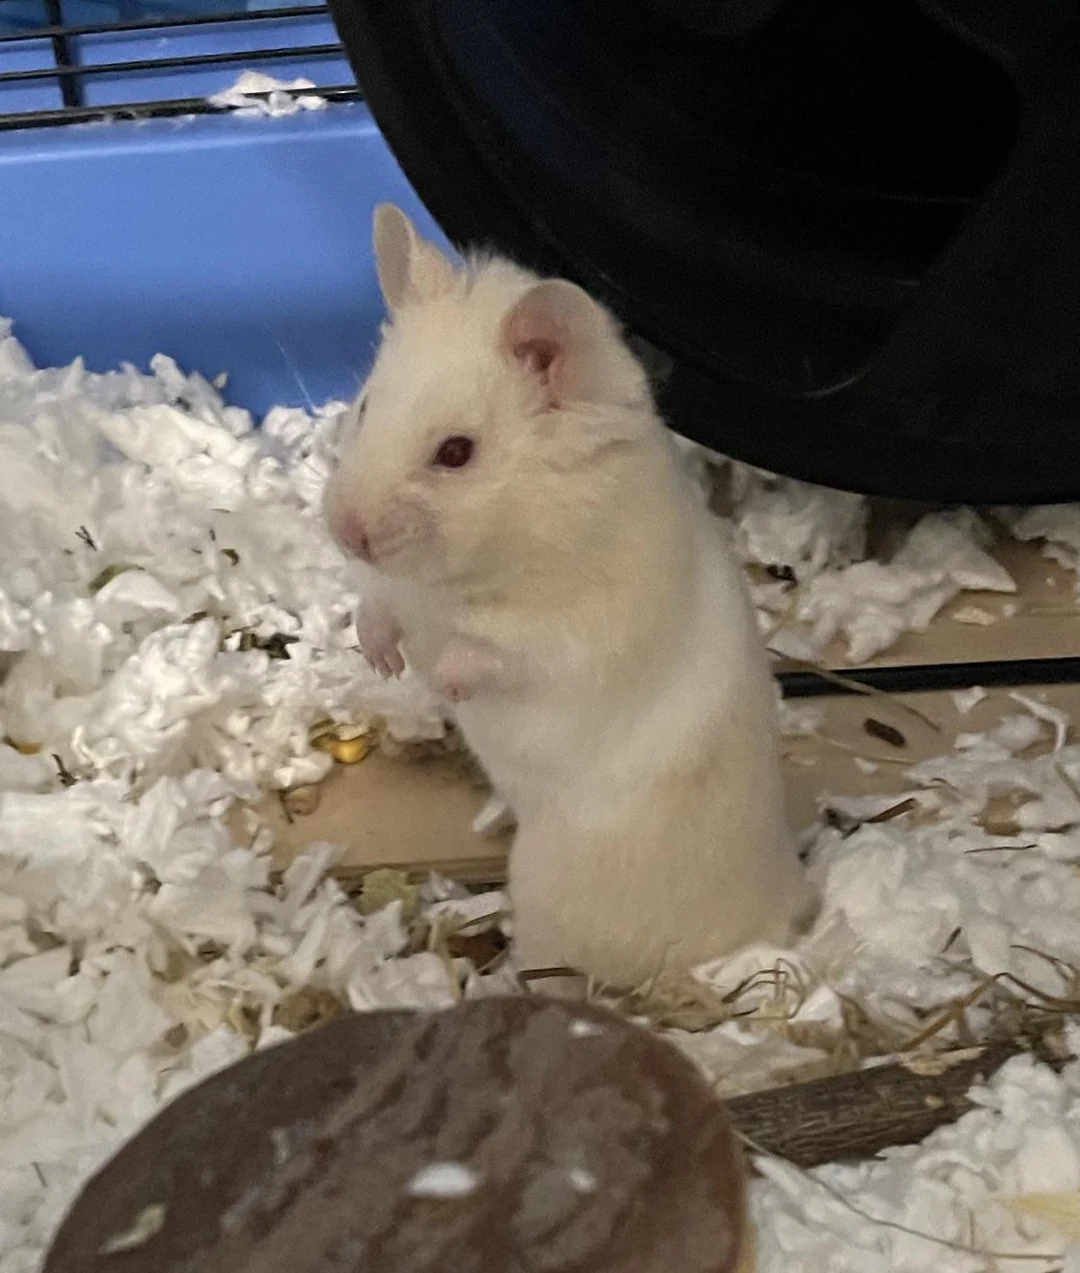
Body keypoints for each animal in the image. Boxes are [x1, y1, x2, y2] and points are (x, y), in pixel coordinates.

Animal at [325, 203, 816, 992]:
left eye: (456, 452)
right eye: (367, 405)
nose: (344, 531)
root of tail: (783, 901)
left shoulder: (574, 632)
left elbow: (493, 650)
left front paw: (441, 680)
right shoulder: (391, 585)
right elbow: (377, 606)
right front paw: (384, 663)